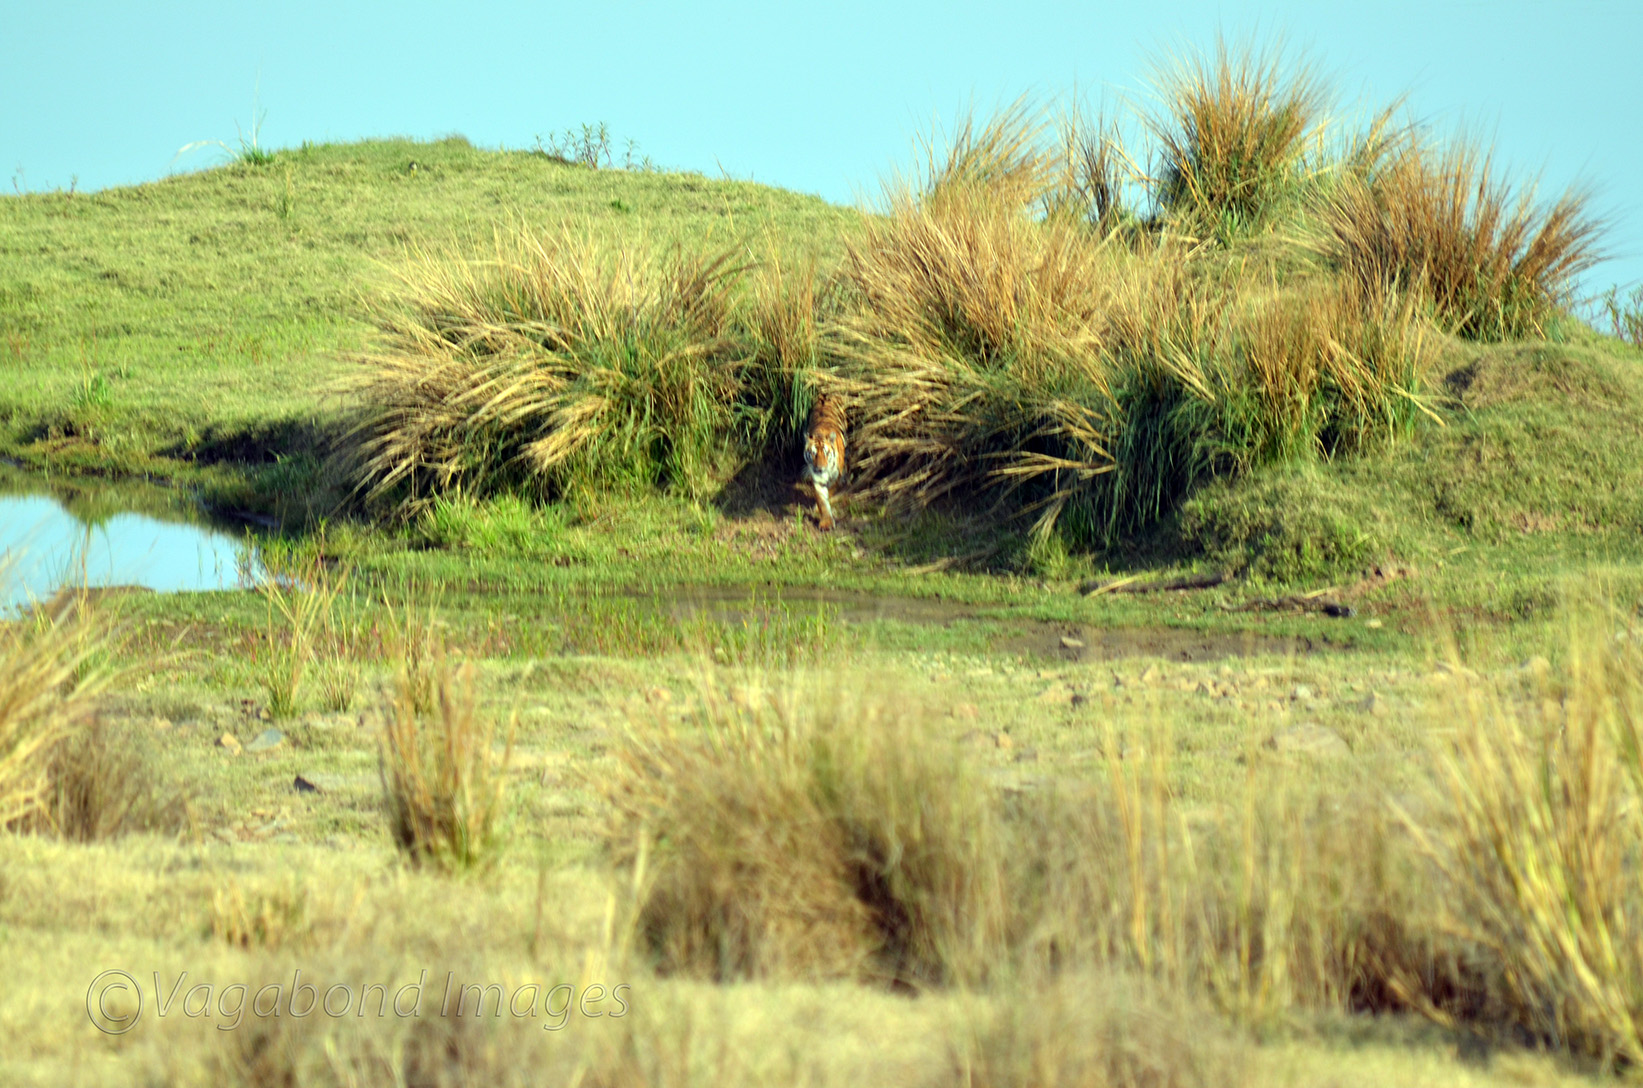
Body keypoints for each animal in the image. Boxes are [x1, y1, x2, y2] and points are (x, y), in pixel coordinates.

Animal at [802, 393, 846, 531]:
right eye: (813, 454)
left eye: (826, 453)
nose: (820, 469)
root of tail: (826, 395)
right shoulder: (817, 479)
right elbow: (822, 500)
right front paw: (826, 522)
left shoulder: (837, 476)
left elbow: (830, 491)